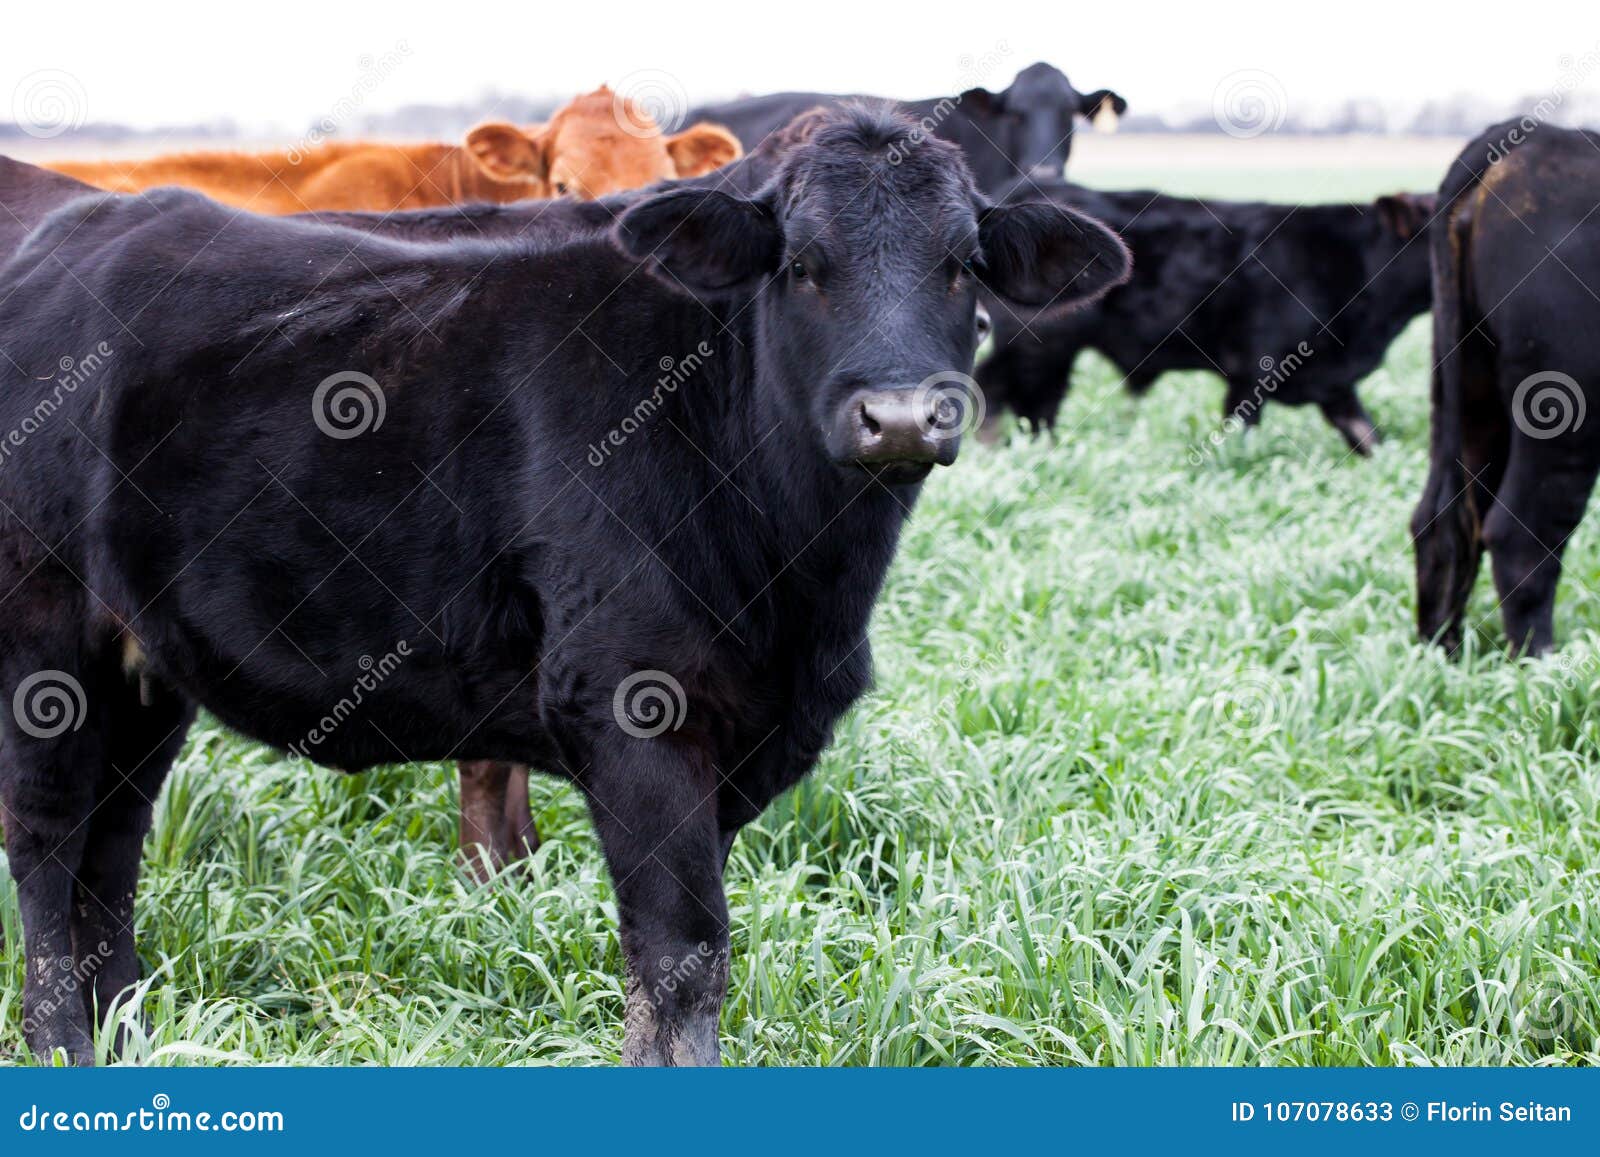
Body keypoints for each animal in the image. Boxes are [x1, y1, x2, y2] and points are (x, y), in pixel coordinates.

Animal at [0, 105, 1130, 1064]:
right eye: (804, 264)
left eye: (962, 265)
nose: (899, 418)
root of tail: (76, 224)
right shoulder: (630, 705)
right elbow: (681, 960)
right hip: (44, 644)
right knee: (50, 843)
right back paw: (64, 1049)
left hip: (145, 666)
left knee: (112, 846)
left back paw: (132, 1038)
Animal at [976, 180, 1436, 453]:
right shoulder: (1253, 373)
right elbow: (1242, 434)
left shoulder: (1335, 383)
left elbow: (1369, 436)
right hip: (1037, 346)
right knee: (998, 388)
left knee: (1035, 403)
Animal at [1412, 119, 1600, 656]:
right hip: (1565, 400)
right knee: (1519, 534)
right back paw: (1543, 664)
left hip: (1470, 391)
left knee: (1443, 520)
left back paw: (1443, 651)